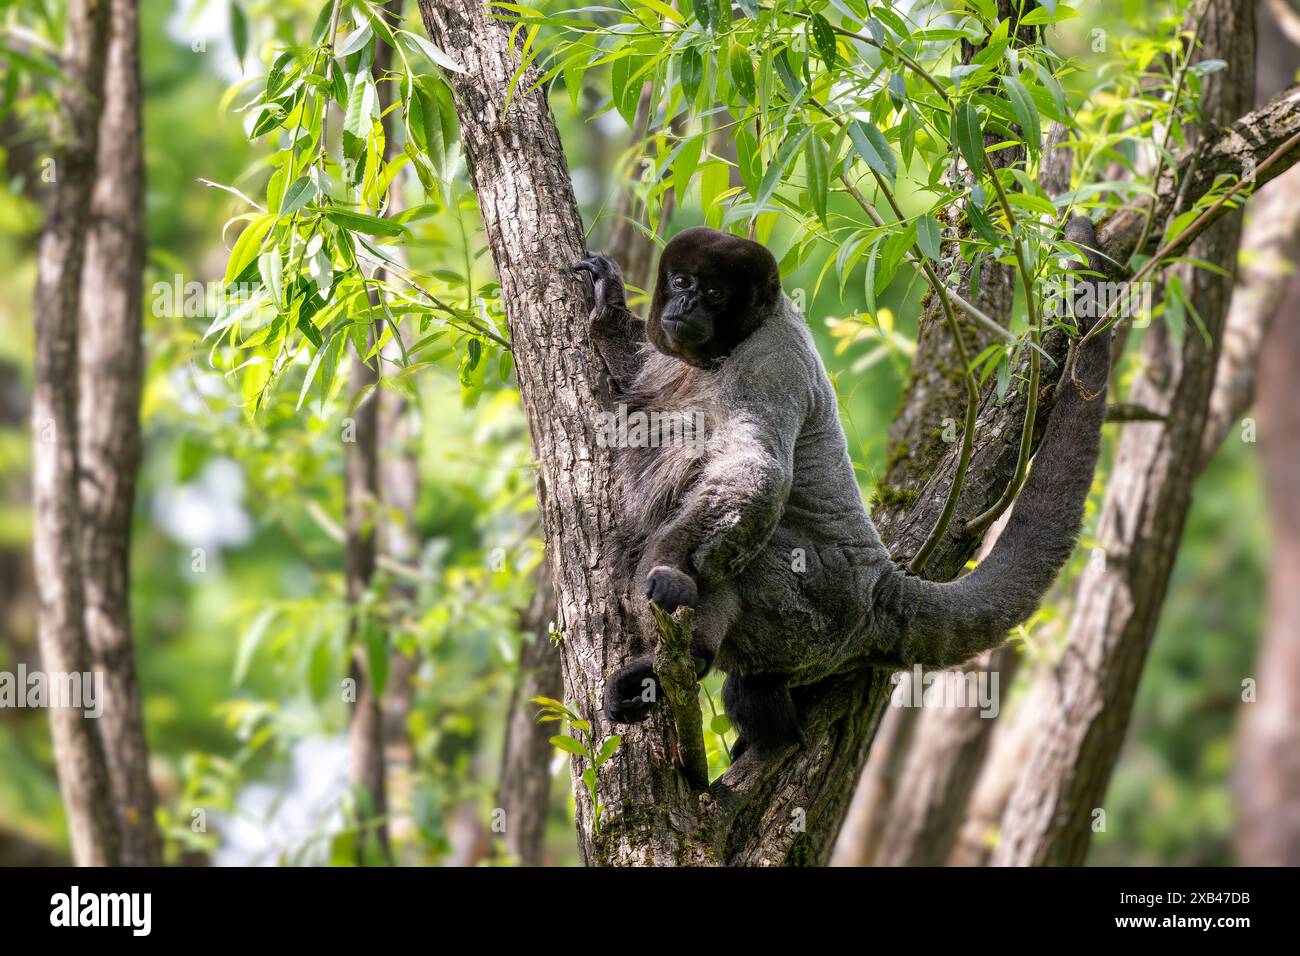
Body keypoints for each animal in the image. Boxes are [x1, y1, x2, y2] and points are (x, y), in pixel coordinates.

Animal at [572, 218, 1110, 758]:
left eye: (715, 293)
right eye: (682, 281)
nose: (687, 303)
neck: (716, 356)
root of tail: (878, 584)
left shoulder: (769, 362)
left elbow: (759, 473)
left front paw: (669, 570)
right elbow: (634, 376)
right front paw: (607, 305)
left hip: (818, 609)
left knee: (739, 550)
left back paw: (695, 656)